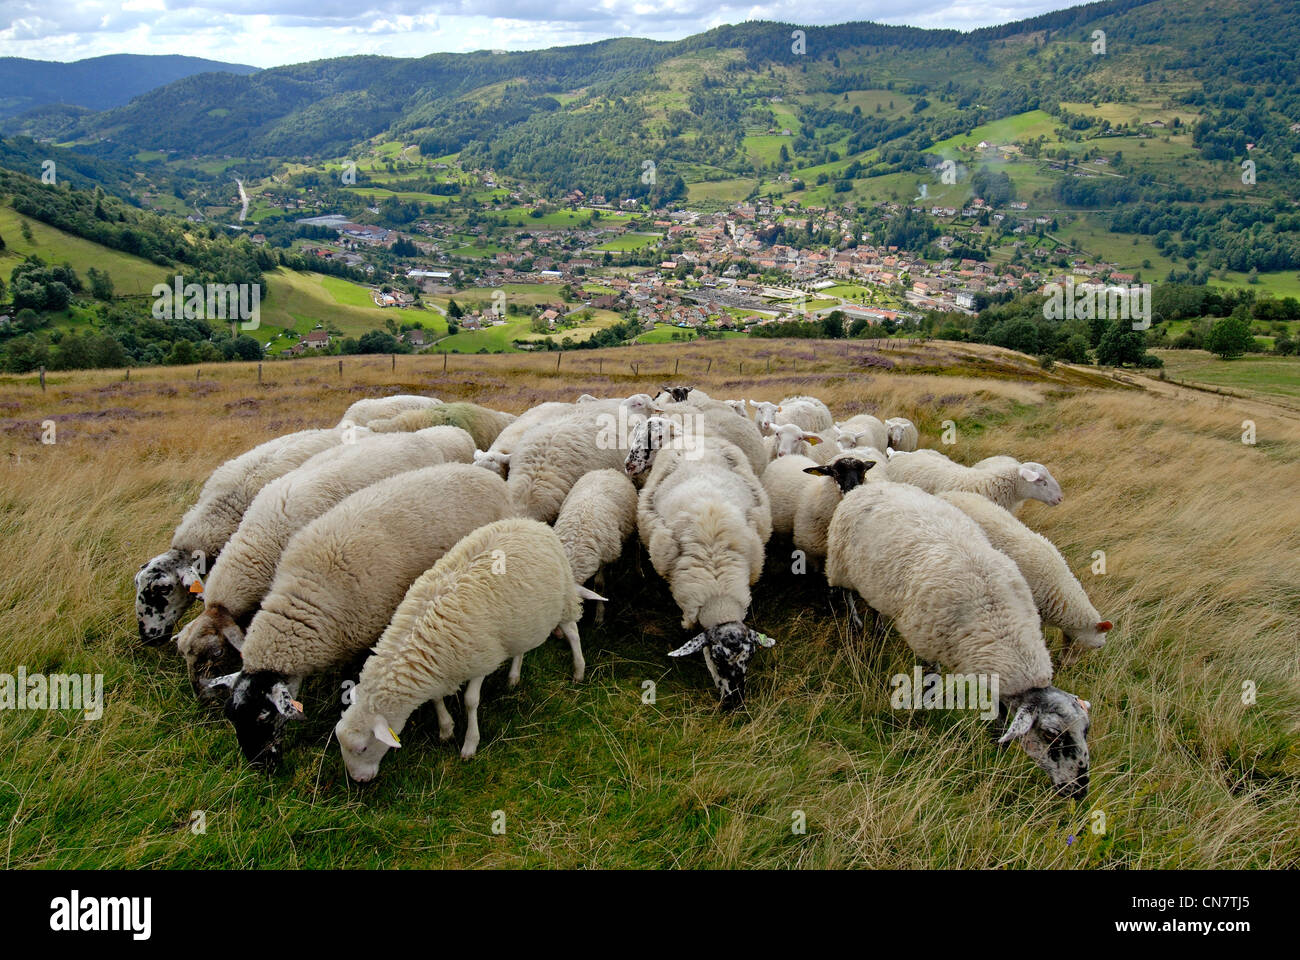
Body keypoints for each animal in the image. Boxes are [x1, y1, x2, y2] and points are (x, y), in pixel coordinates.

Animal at [335, 517, 604, 777]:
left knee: (572, 632)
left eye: (363, 748)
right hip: (520, 618)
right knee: (520, 647)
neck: (421, 634)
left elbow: (470, 701)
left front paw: (470, 744)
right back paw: (513, 677)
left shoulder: (480, 658)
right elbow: (436, 698)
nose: (359, 780)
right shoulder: (437, 667)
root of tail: (533, 524)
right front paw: (446, 729)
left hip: (562, 599)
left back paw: (578, 670)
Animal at [825, 480, 1091, 799]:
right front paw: (925, 713)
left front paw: (997, 743)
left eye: (1086, 729)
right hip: (841, 566)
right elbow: (930, 684)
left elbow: (1001, 710)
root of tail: (871, 485)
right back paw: (856, 623)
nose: (1080, 791)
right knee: (847, 594)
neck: (999, 621)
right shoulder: (927, 643)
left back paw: (878, 628)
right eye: (1051, 734)